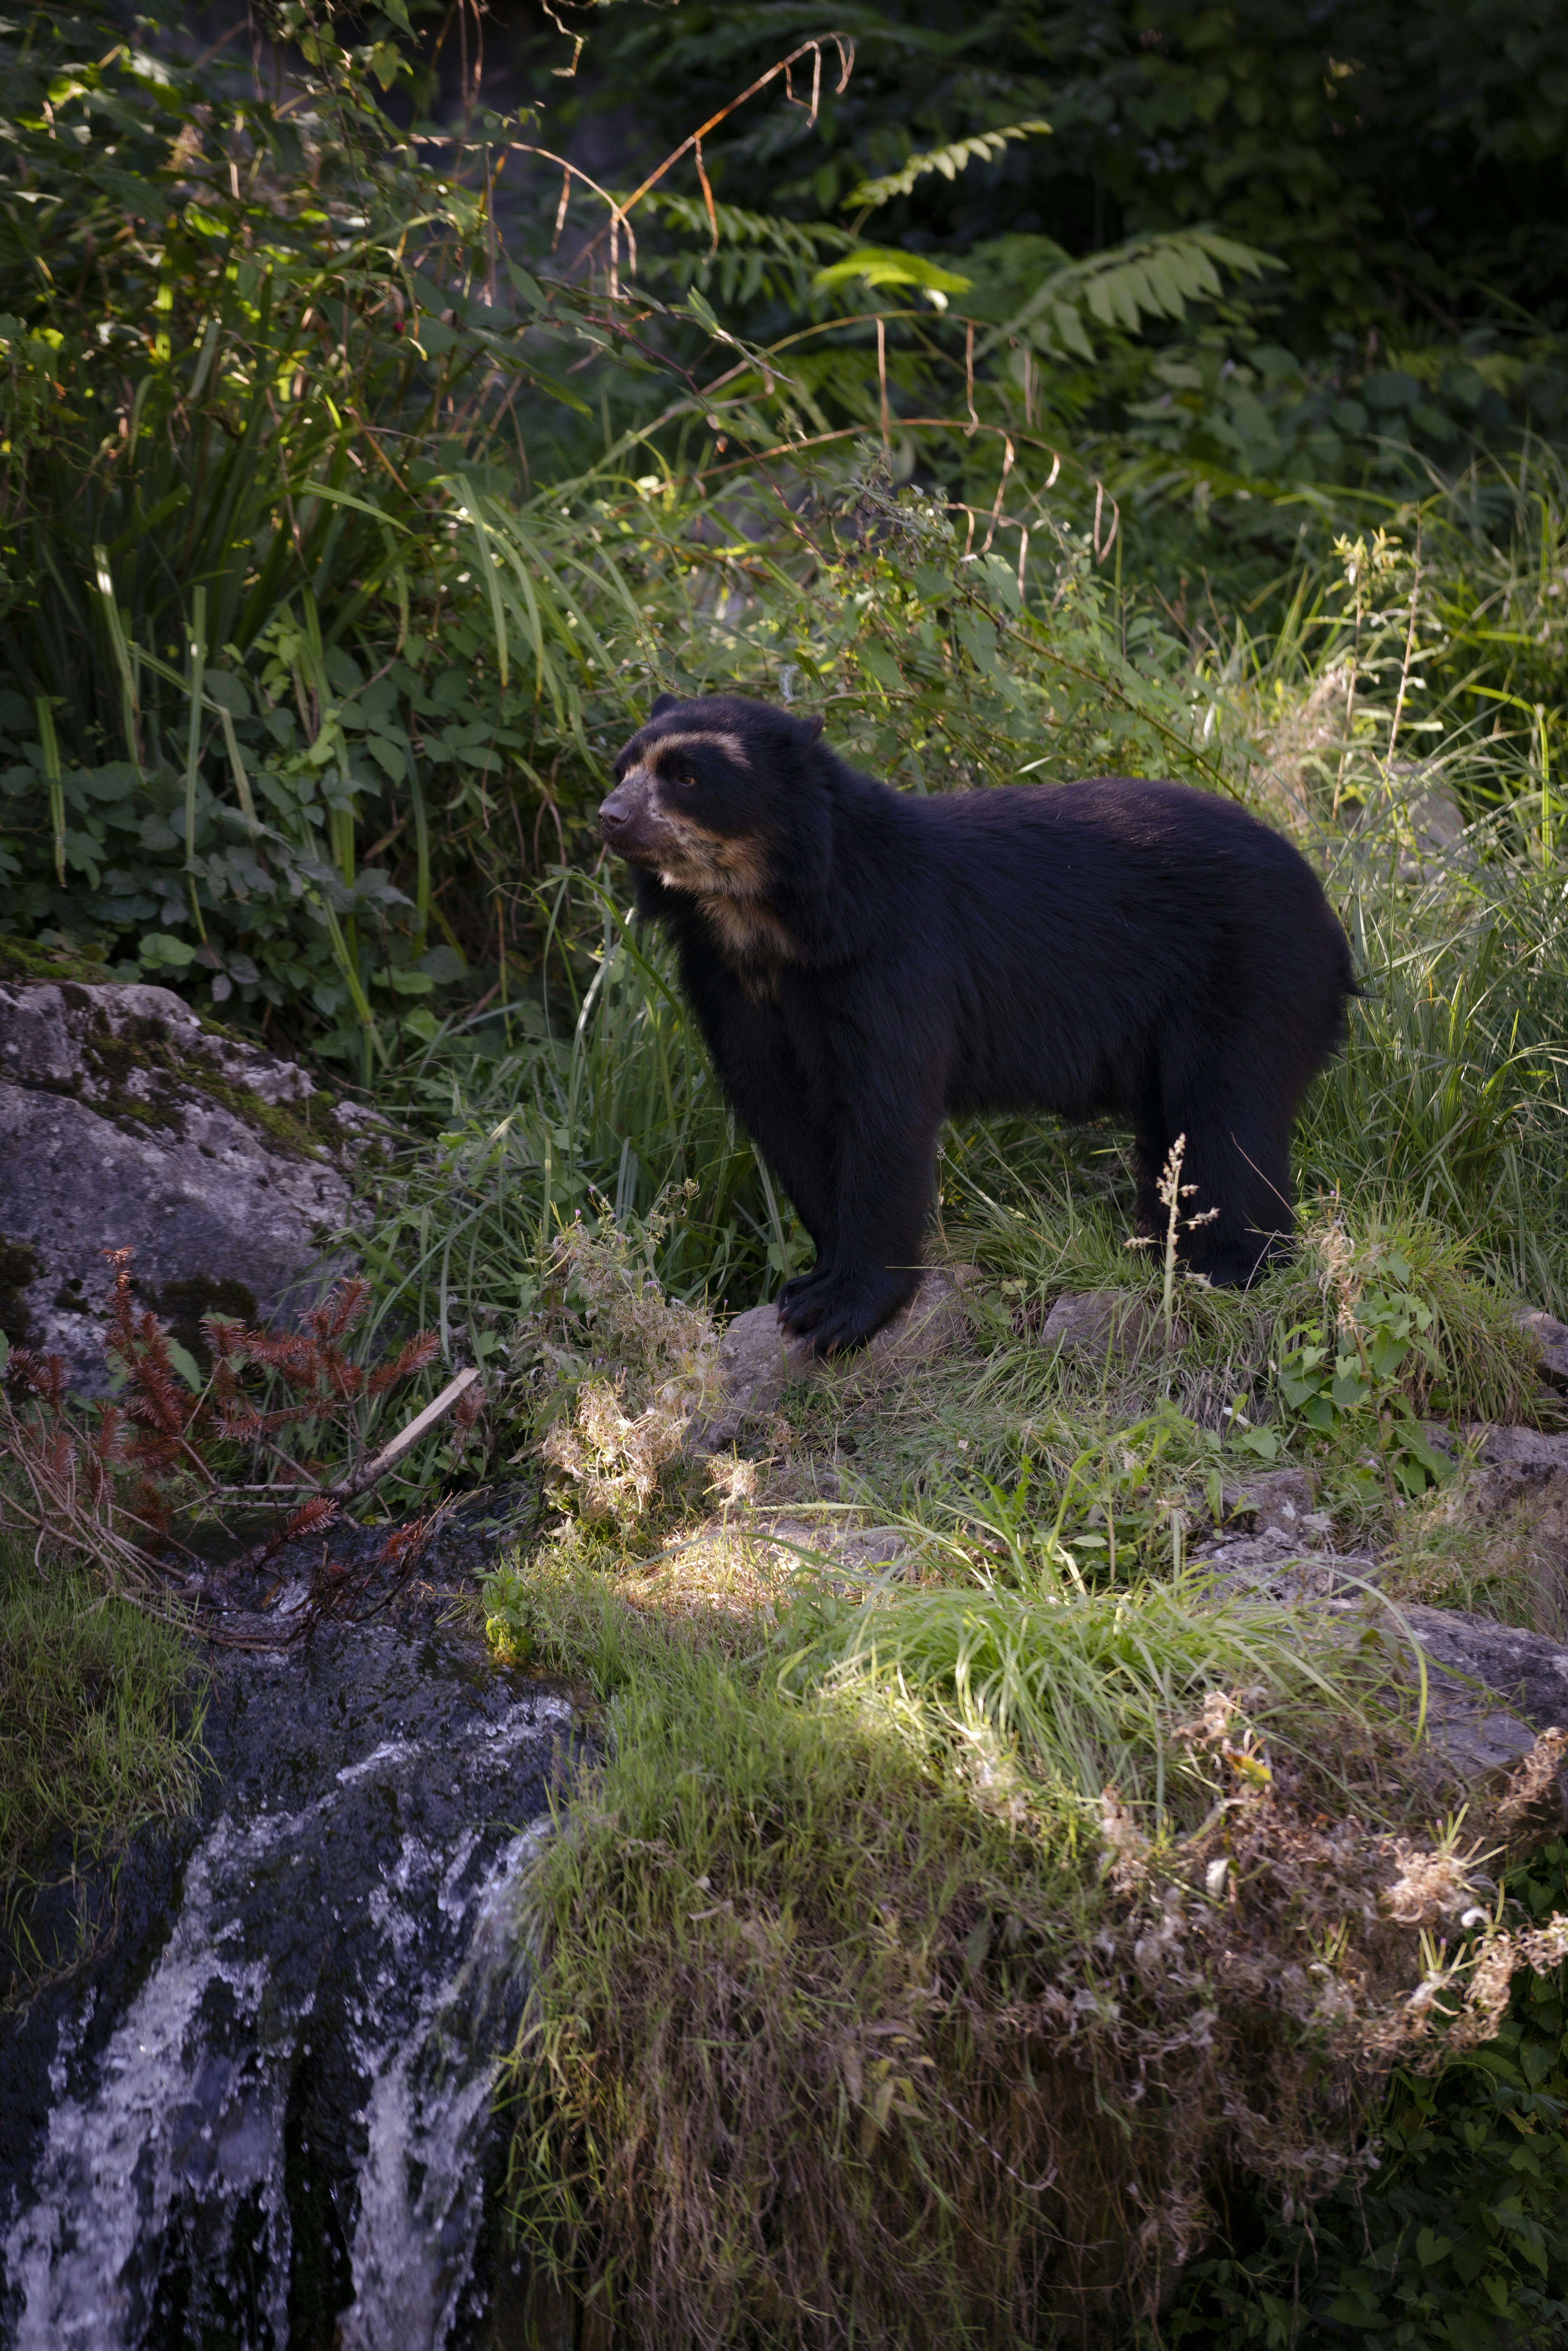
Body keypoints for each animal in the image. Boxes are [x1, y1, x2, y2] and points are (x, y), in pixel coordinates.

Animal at [598, 692, 1356, 1354]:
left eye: (687, 776)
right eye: (622, 768)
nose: (609, 817)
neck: (760, 920)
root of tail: (1327, 908)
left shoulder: (889, 958)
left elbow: (884, 1107)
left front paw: (842, 1311)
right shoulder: (729, 988)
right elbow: (781, 1115)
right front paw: (812, 1283)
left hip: (1252, 977)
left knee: (1227, 1119)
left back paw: (1229, 1266)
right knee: (1174, 1132)